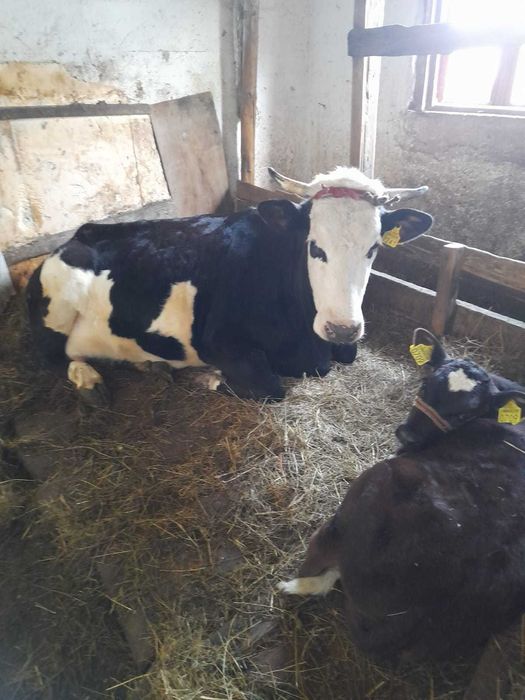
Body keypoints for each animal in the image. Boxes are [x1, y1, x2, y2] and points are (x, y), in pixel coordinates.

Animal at [26, 167, 432, 403]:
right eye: (314, 246)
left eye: (374, 248)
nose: (342, 328)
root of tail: (81, 233)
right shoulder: (218, 341)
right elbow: (271, 387)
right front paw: (207, 377)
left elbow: (344, 357)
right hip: (57, 309)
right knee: (54, 354)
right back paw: (90, 381)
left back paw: (148, 367)